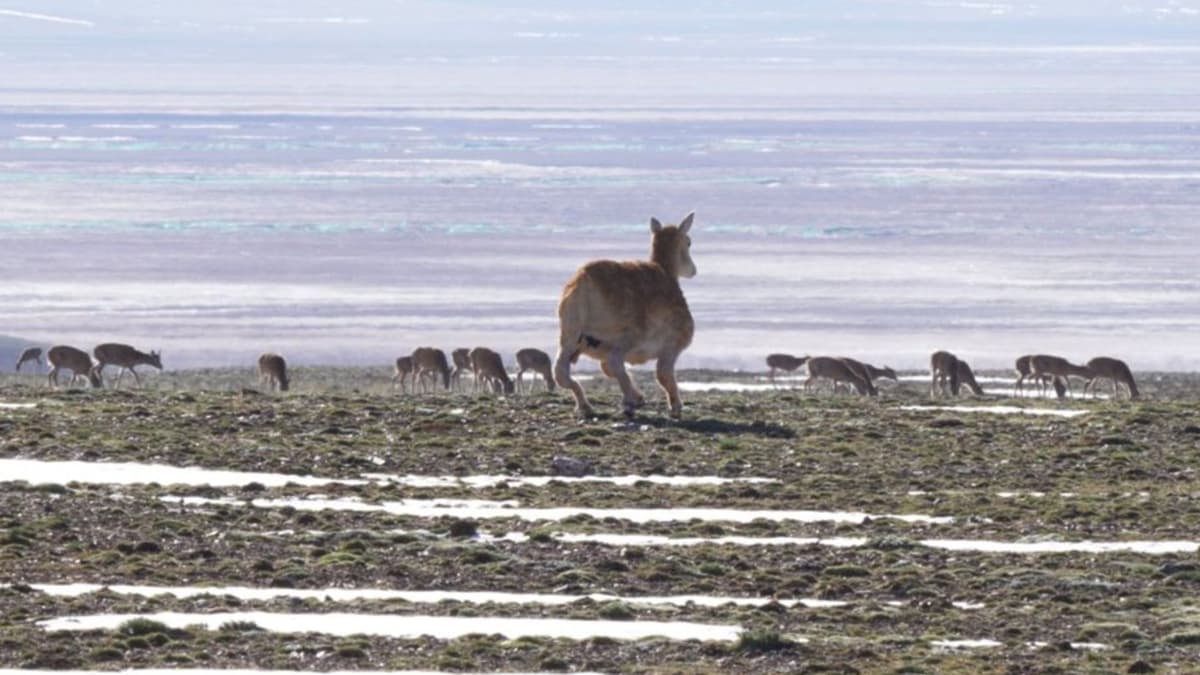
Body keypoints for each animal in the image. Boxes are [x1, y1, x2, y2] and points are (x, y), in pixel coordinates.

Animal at [555, 212, 697, 419]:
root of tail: (584, 282)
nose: (693, 270)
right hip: (627, 336)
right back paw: (632, 400)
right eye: (688, 242)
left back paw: (587, 406)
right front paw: (676, 407)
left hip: (570, 337)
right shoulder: (671, 347)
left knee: (561, 373)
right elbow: (663, 374)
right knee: (614, 361)